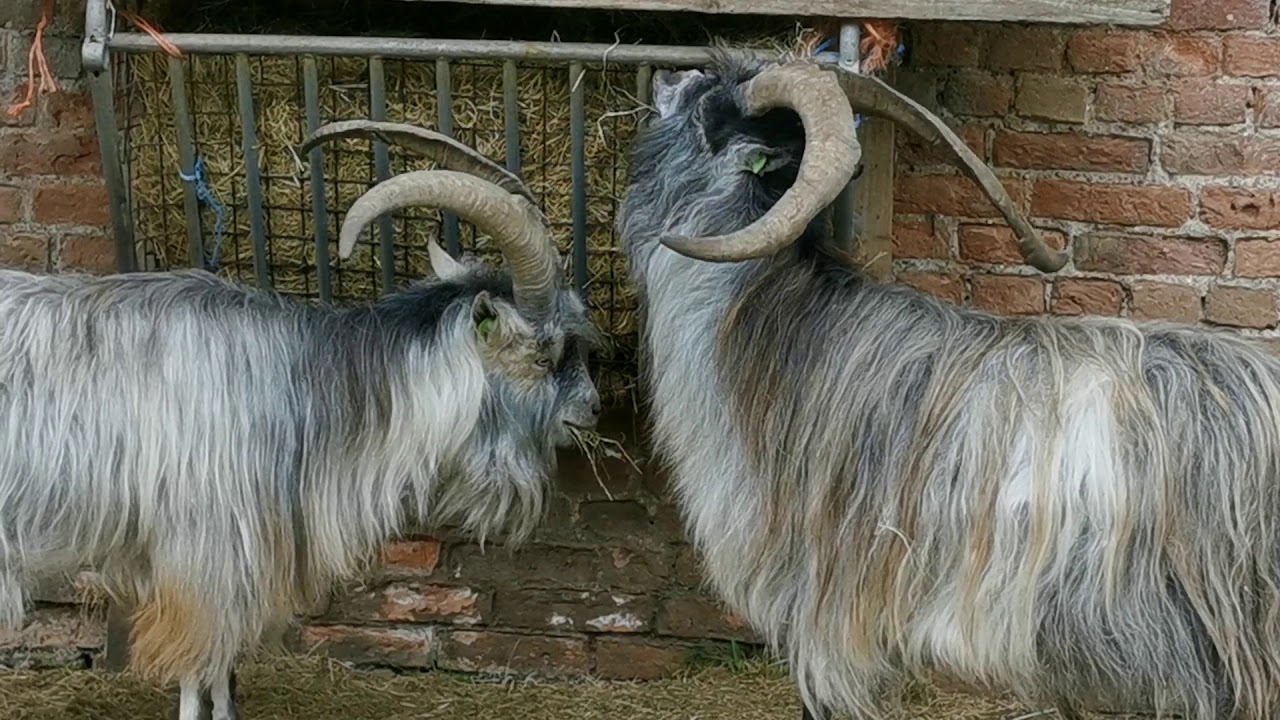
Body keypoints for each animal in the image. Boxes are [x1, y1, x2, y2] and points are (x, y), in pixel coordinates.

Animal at [0, 122, 602, 720]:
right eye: (545, 354)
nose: (592, 409)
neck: (298, 384)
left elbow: (220, 673)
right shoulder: (201, 557)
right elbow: (199, 672)